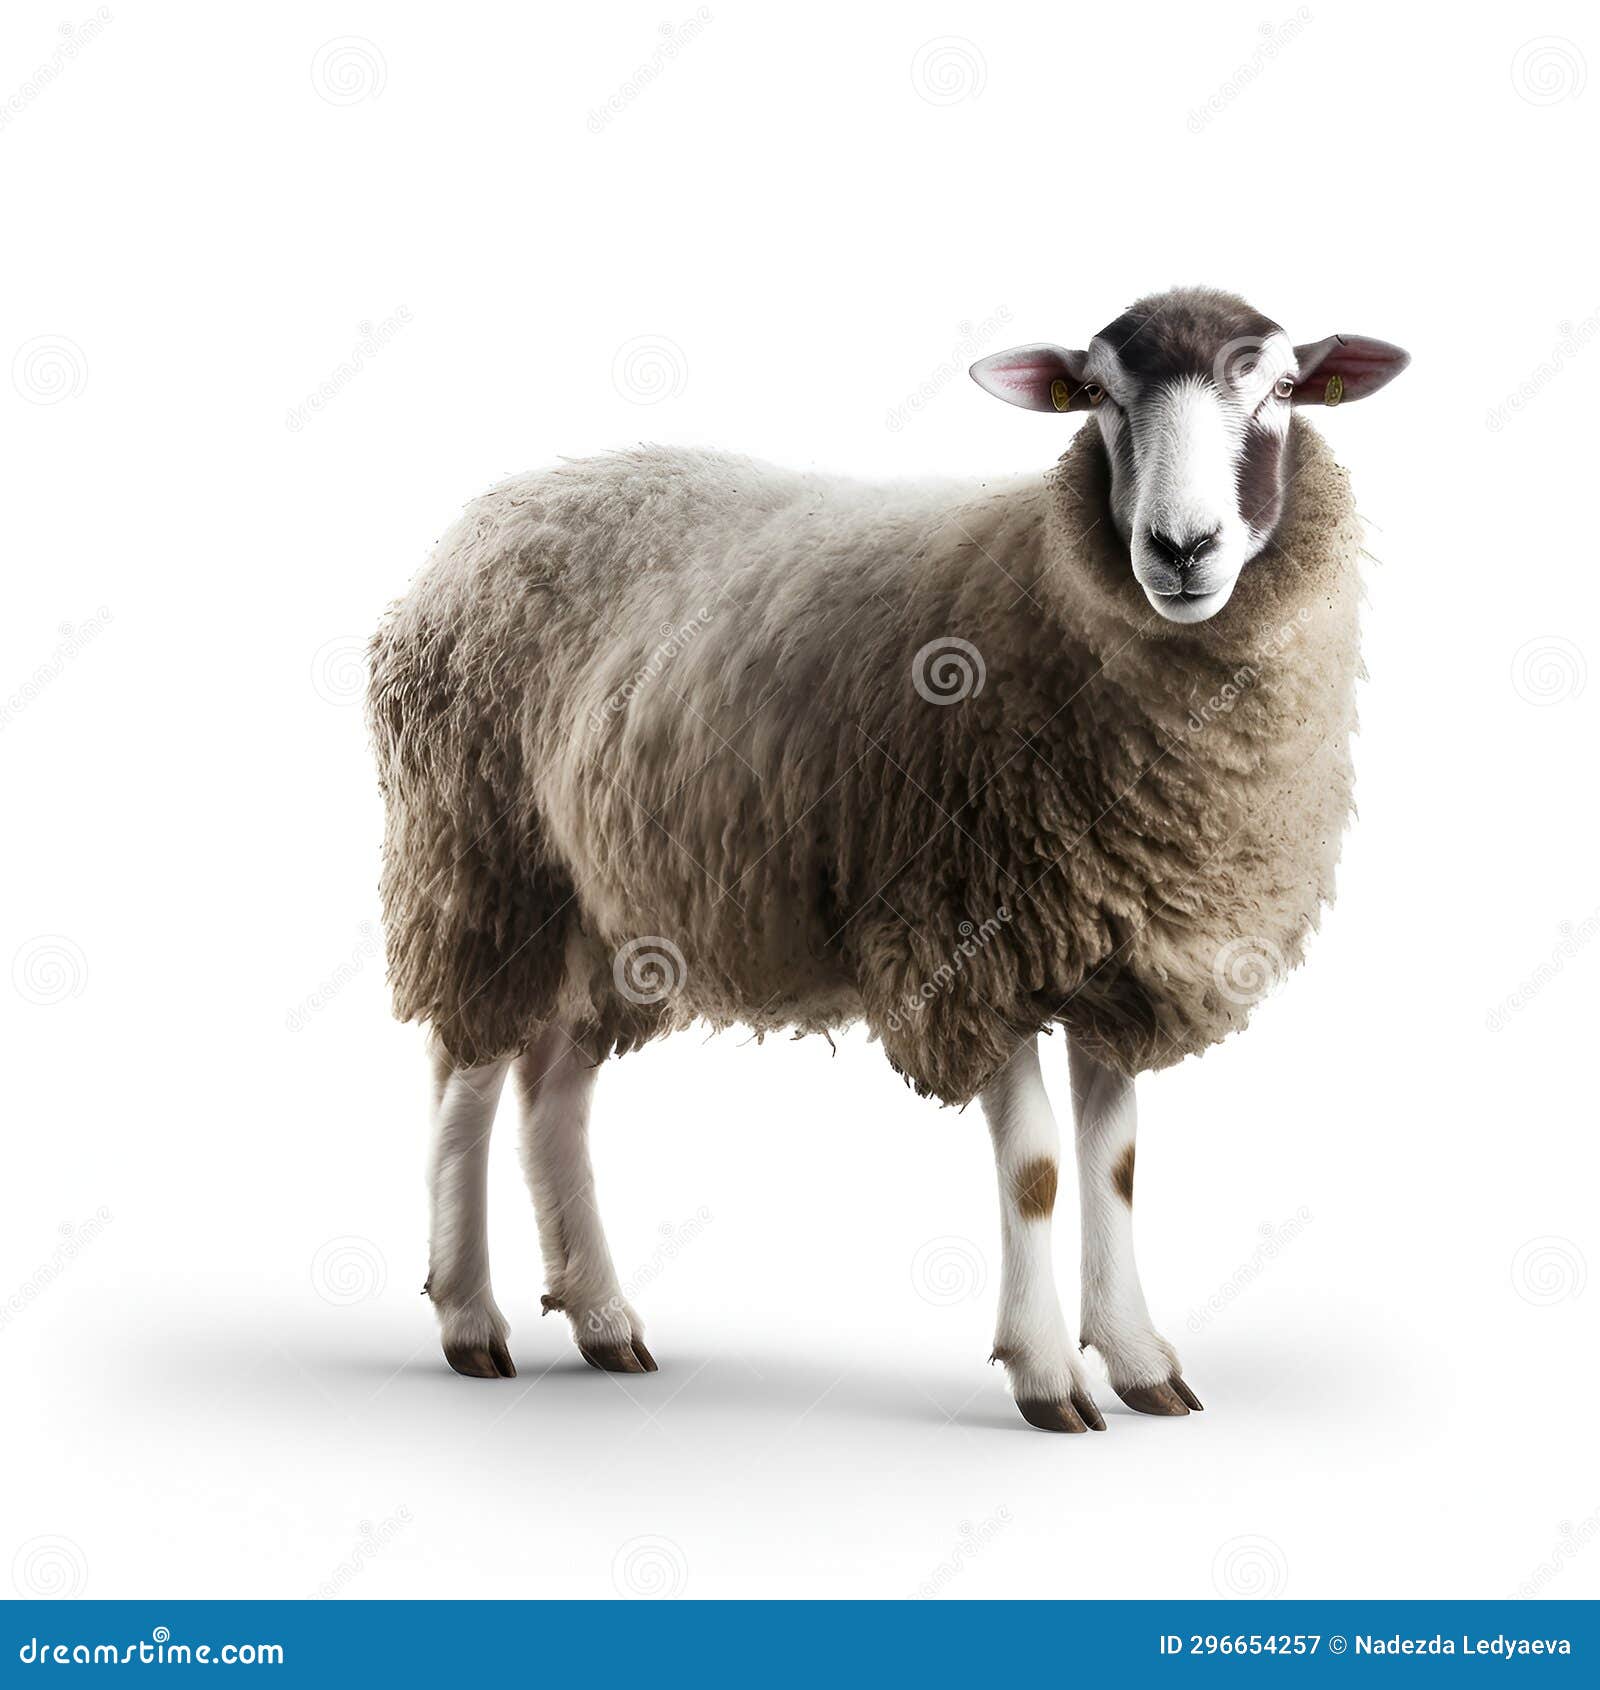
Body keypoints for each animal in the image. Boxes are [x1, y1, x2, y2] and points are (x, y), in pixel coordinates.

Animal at [367, 286, 1409, 1432]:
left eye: (1280, 390)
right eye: (1098, 397)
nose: (1181, 547)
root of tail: (487, 516)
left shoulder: (1116, 951)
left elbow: (1117, 1167)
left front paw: (1138, 1361)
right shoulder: (966, 937)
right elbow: (1038, 1171)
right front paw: (1047, 1376)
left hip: (612, 914)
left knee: (550, 1089)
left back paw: (601, 1318)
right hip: (488, 866)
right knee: (466, 1080)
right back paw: (470, 1319)